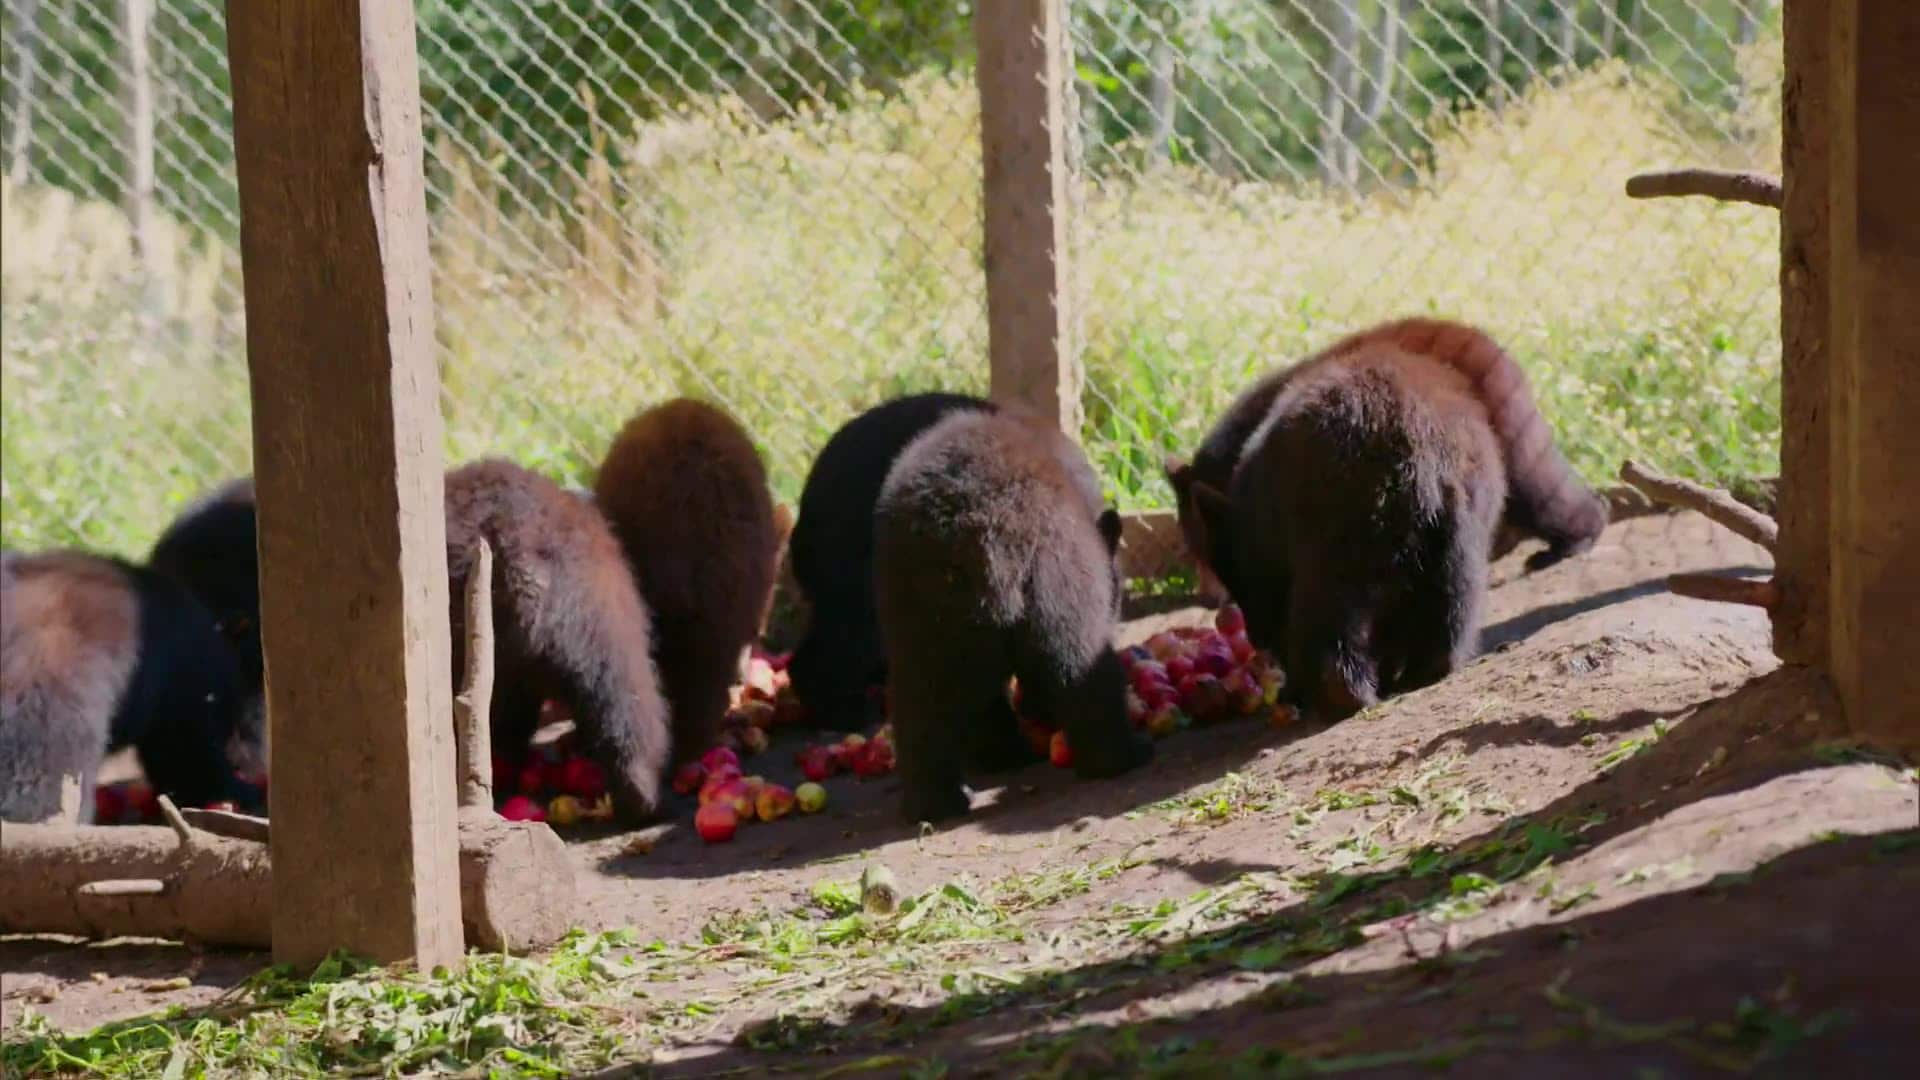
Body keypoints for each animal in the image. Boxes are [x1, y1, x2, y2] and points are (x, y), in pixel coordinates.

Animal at [873, 408, 1152, 824]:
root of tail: (978, 530)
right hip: (1058, 568)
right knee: (1078, 663)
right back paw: (1119, 757)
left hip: (921, 612)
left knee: (922, 697)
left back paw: (937, 802)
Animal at [1166, 316, 1608, 598]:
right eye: (1191, 550)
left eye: (1203, 549)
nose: (1208, 599)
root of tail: (1488, 342)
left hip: (1501, 414)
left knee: (1536, 485)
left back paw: (1574, 537)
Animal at [1173, 340, 1512, 723]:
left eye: (1232, 575)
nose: (1257, 639)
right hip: (1455, 536)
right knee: (1451, 602)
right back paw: (1424, 669)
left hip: (1335, 549)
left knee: (1327, 620)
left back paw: (1342, 694)